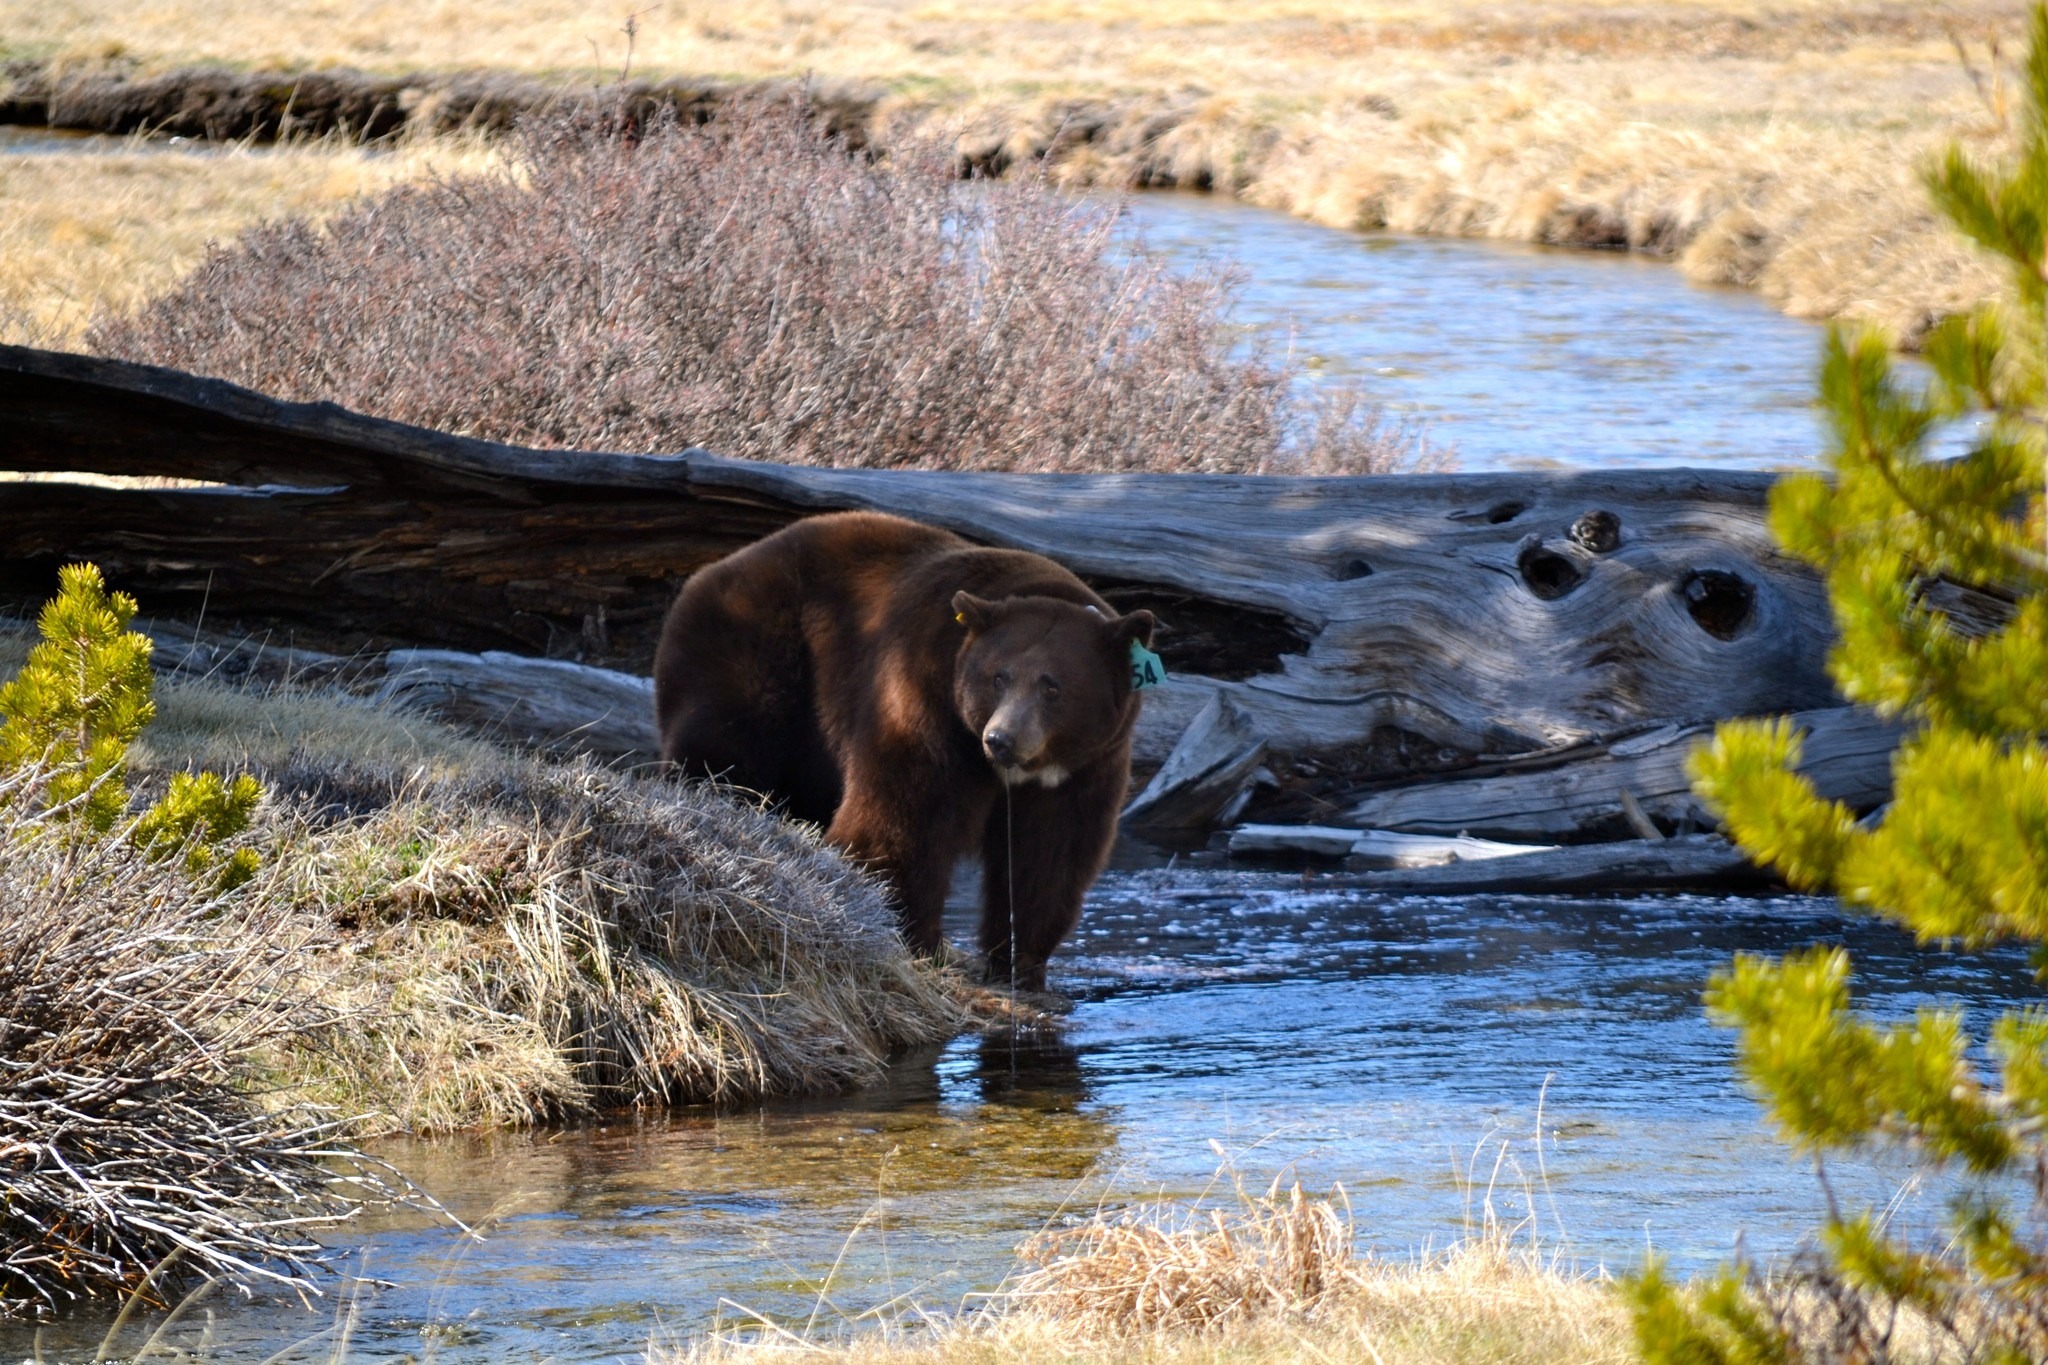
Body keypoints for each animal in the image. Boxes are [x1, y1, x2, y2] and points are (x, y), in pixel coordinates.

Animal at [653, 511, 1155, 992]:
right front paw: (911, 937)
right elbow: (906, 817)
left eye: (1052, 686)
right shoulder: (922, 698)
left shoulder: (1087, 767)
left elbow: (1049, 855)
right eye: (999, 677)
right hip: (757, 655)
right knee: (727, 745)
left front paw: (1020, 964)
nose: (1001, 738)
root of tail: (709, 572)